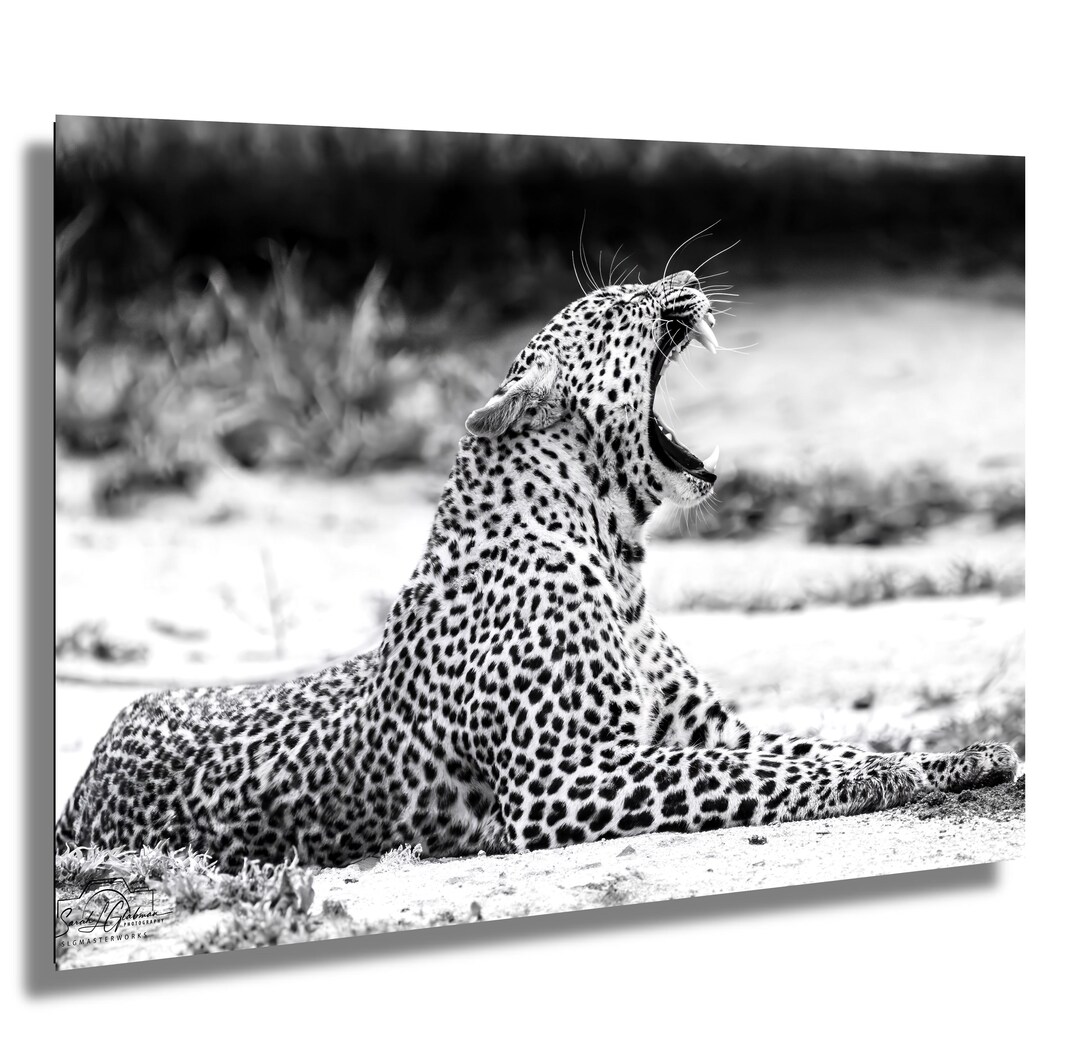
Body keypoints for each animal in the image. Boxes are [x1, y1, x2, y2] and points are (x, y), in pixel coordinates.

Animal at [55, 269, 1020, 872]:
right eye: (622, 303)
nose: (688, 279)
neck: (619, 559)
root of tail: (81, 786)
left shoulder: (706, 731)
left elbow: (802, 746)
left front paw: (958, 757)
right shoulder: (565, 777)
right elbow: (768, 774)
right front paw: (885, 778)